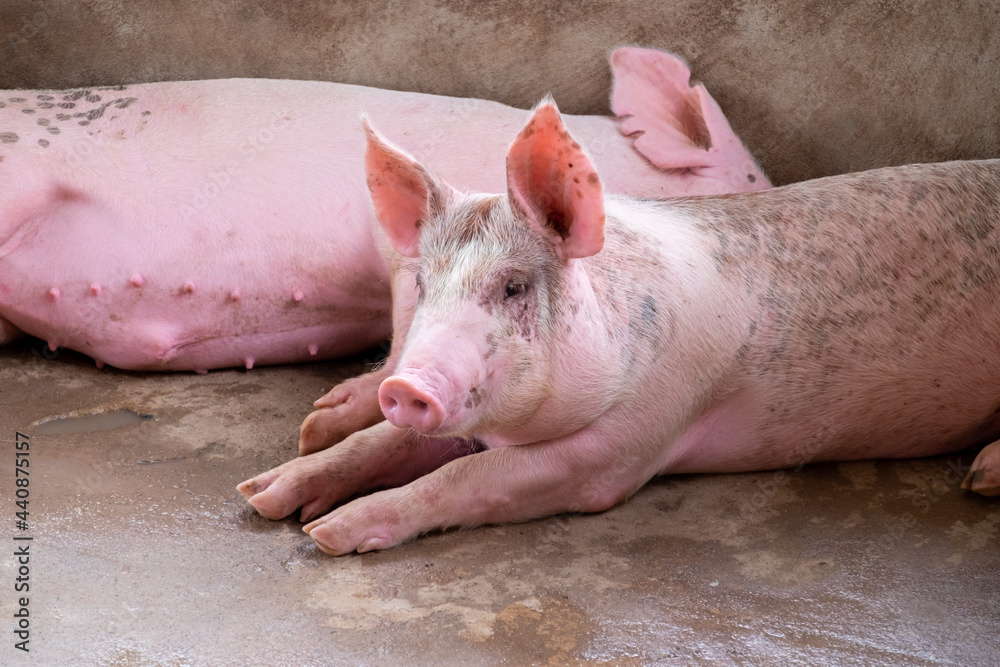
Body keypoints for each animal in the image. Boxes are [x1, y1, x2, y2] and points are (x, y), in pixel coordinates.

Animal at [239, 101, 1000, 556]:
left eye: (513, 286)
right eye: (423, 283)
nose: (406, 386)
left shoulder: (627, 442)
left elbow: (470, 475)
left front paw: (327, 535)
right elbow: (380, 443)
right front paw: (263, 495)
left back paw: (980, 480)